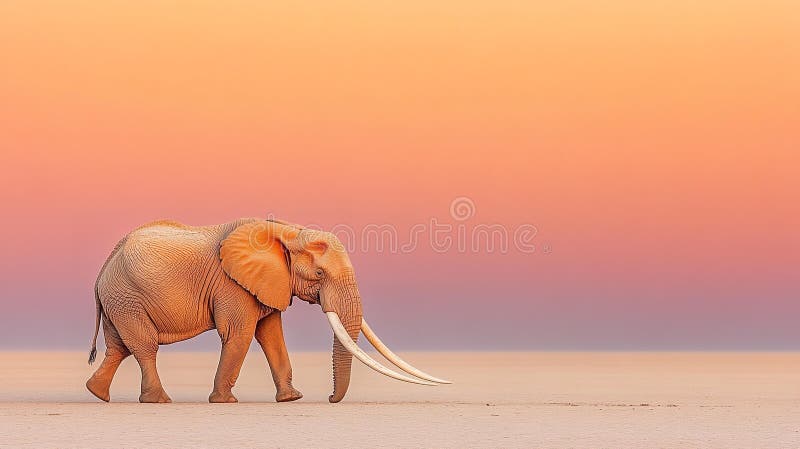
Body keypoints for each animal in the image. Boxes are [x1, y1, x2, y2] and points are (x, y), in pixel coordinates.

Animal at [86, 218, 449, 404]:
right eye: (320, 274)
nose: (330, 399)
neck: (287, 232)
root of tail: (103, 269)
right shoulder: (232, 284)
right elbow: (240, 334)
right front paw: (224, 403)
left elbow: (272, 334)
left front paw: (291, 399)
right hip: (127, 296)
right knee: (144, 347)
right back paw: (159, 401)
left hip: (121, 300)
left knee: (120, 348)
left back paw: (97, 394)